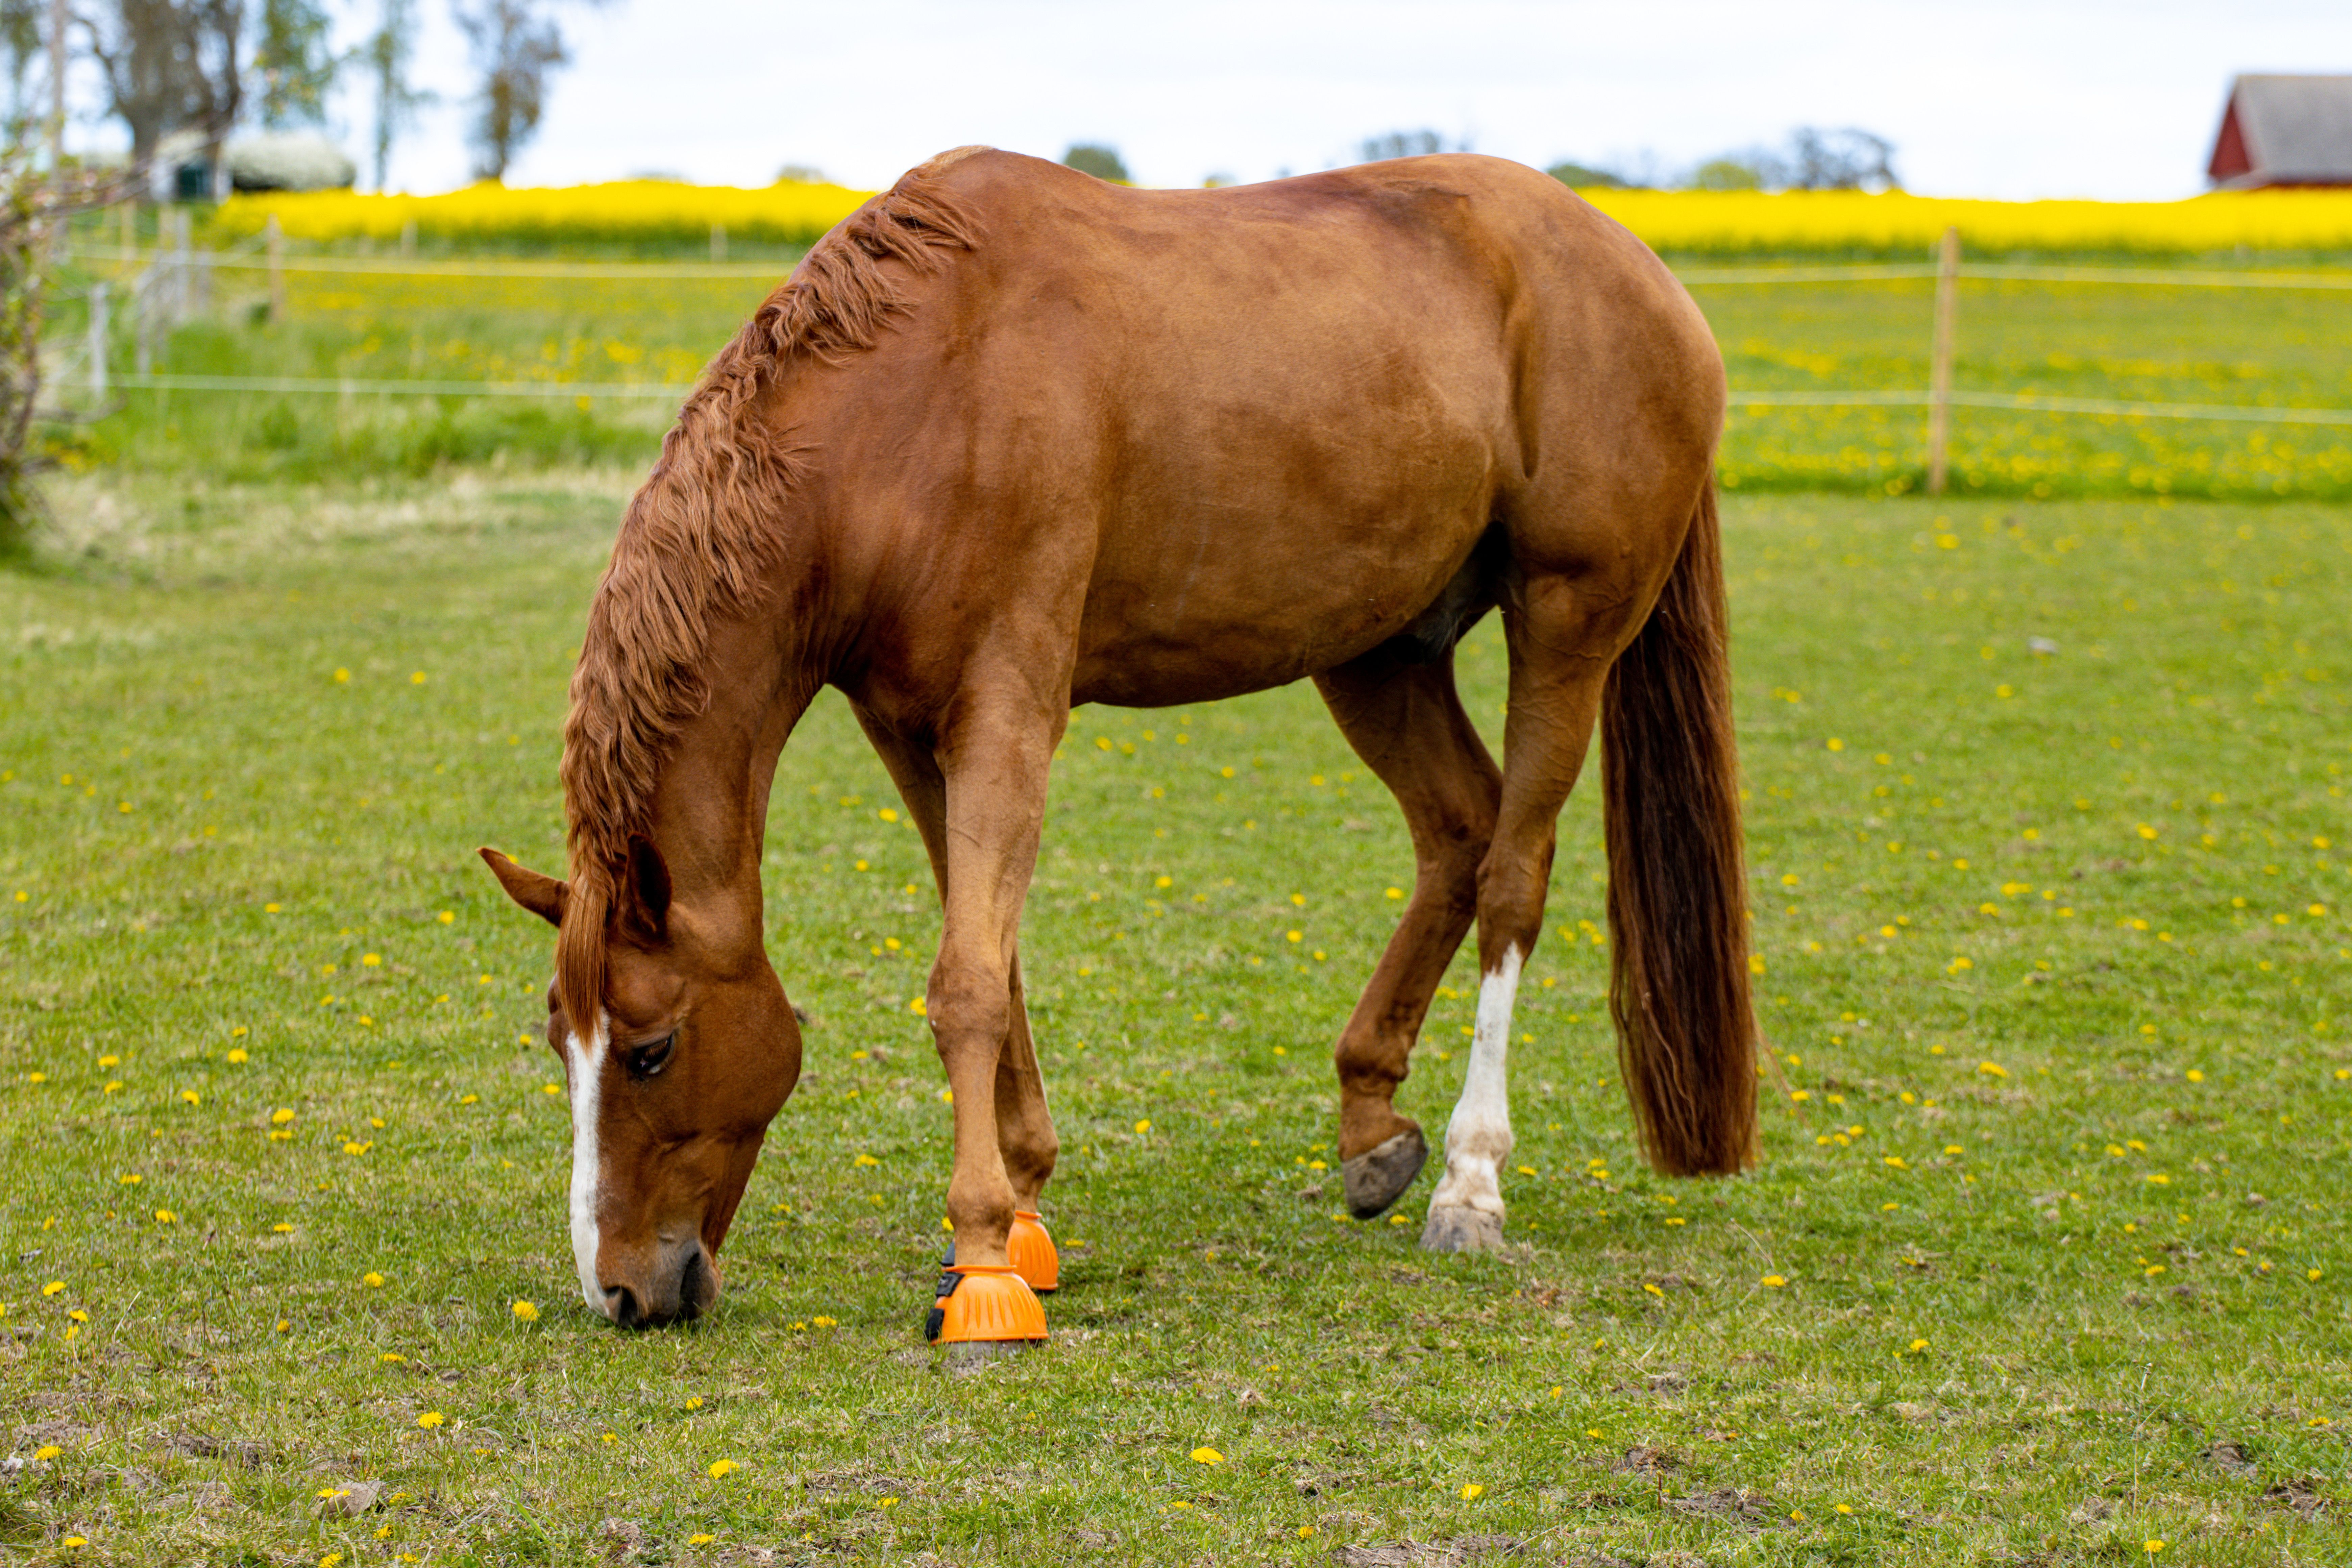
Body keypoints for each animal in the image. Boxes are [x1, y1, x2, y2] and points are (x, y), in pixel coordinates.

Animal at [481, 146, 1756, 1339]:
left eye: (651, 1049)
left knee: (1511, 876)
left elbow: (966, 984)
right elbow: (994, 963)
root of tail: (1644, 275)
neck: (916, 407)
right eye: (556, 1042)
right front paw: (1023, 1214)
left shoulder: (1007, 710)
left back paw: (1468, 1181)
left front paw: (985, 1264)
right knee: (1457, 833)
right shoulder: (907, 729)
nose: (620, 1290)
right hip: (1379, 652)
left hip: (1567, 624)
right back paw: (1369, 1126)